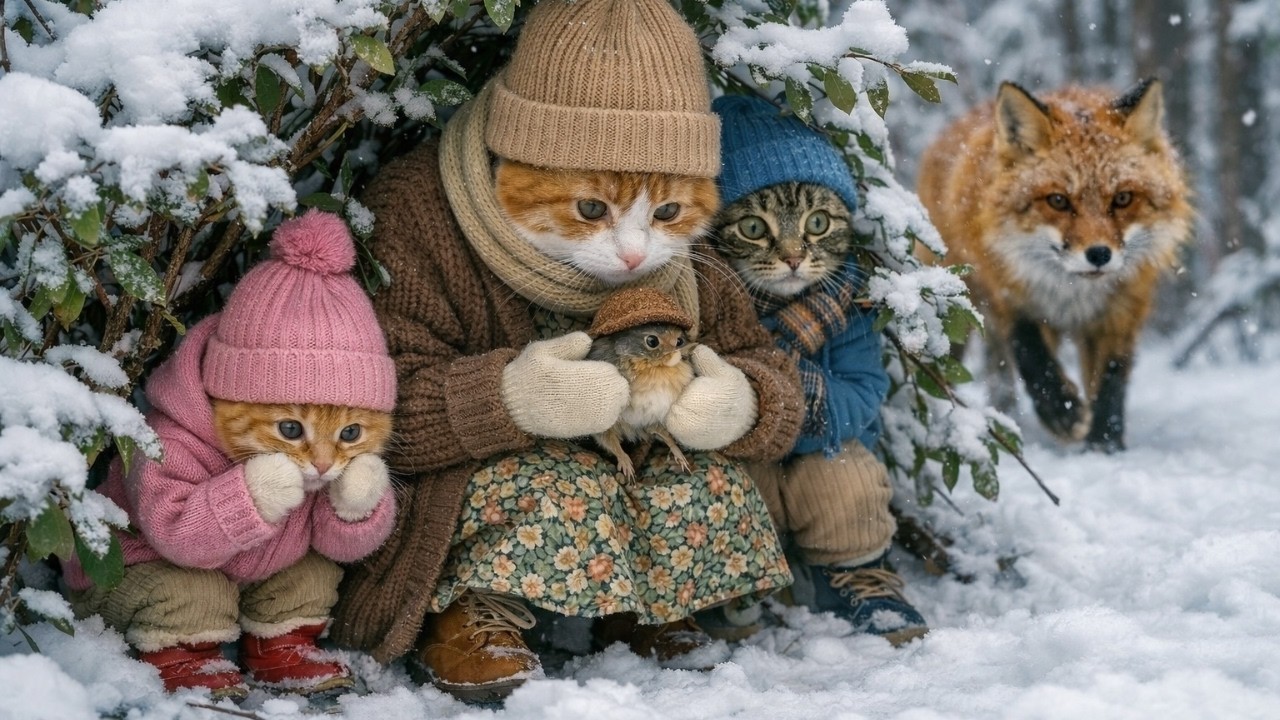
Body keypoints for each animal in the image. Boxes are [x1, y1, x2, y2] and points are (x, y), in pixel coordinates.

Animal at [916, 78, 1193, 452]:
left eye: (1122, 199)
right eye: (1058, 201)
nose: (1099, 254)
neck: (1071, 295)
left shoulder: (1124, 306)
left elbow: (1111, 376)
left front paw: (1104, 444)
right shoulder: (1006, 290)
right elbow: (1030, 351)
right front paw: (1061, 412)